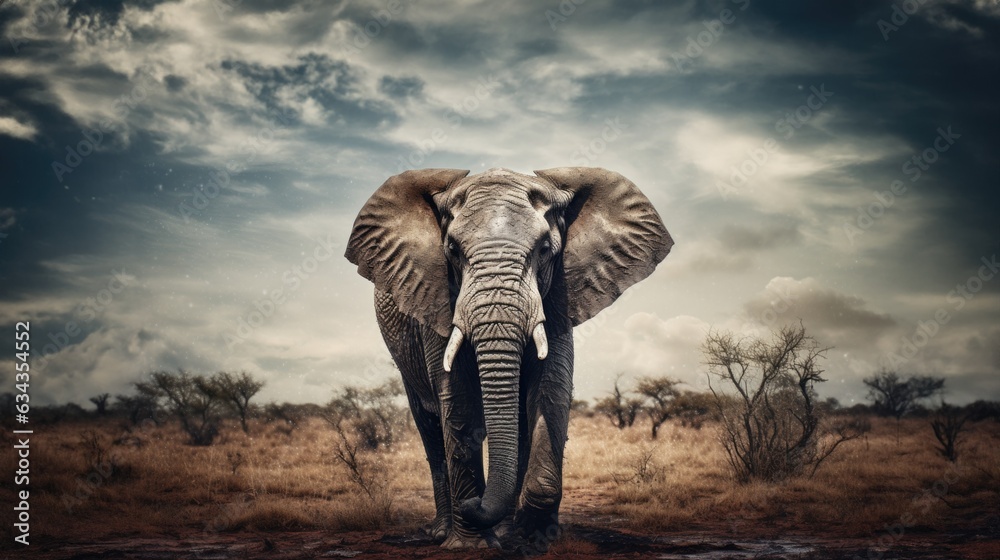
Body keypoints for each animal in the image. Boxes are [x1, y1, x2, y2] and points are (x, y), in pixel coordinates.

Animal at [345, 167, 672, 550]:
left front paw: (534, 535)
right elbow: (457, 402)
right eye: (452, 250)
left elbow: (550, 391)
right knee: (431, 430)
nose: (475, 503)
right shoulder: (434, 297)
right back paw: (442, 531)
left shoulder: (560, 294)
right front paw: (470, 545)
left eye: (544, 250)